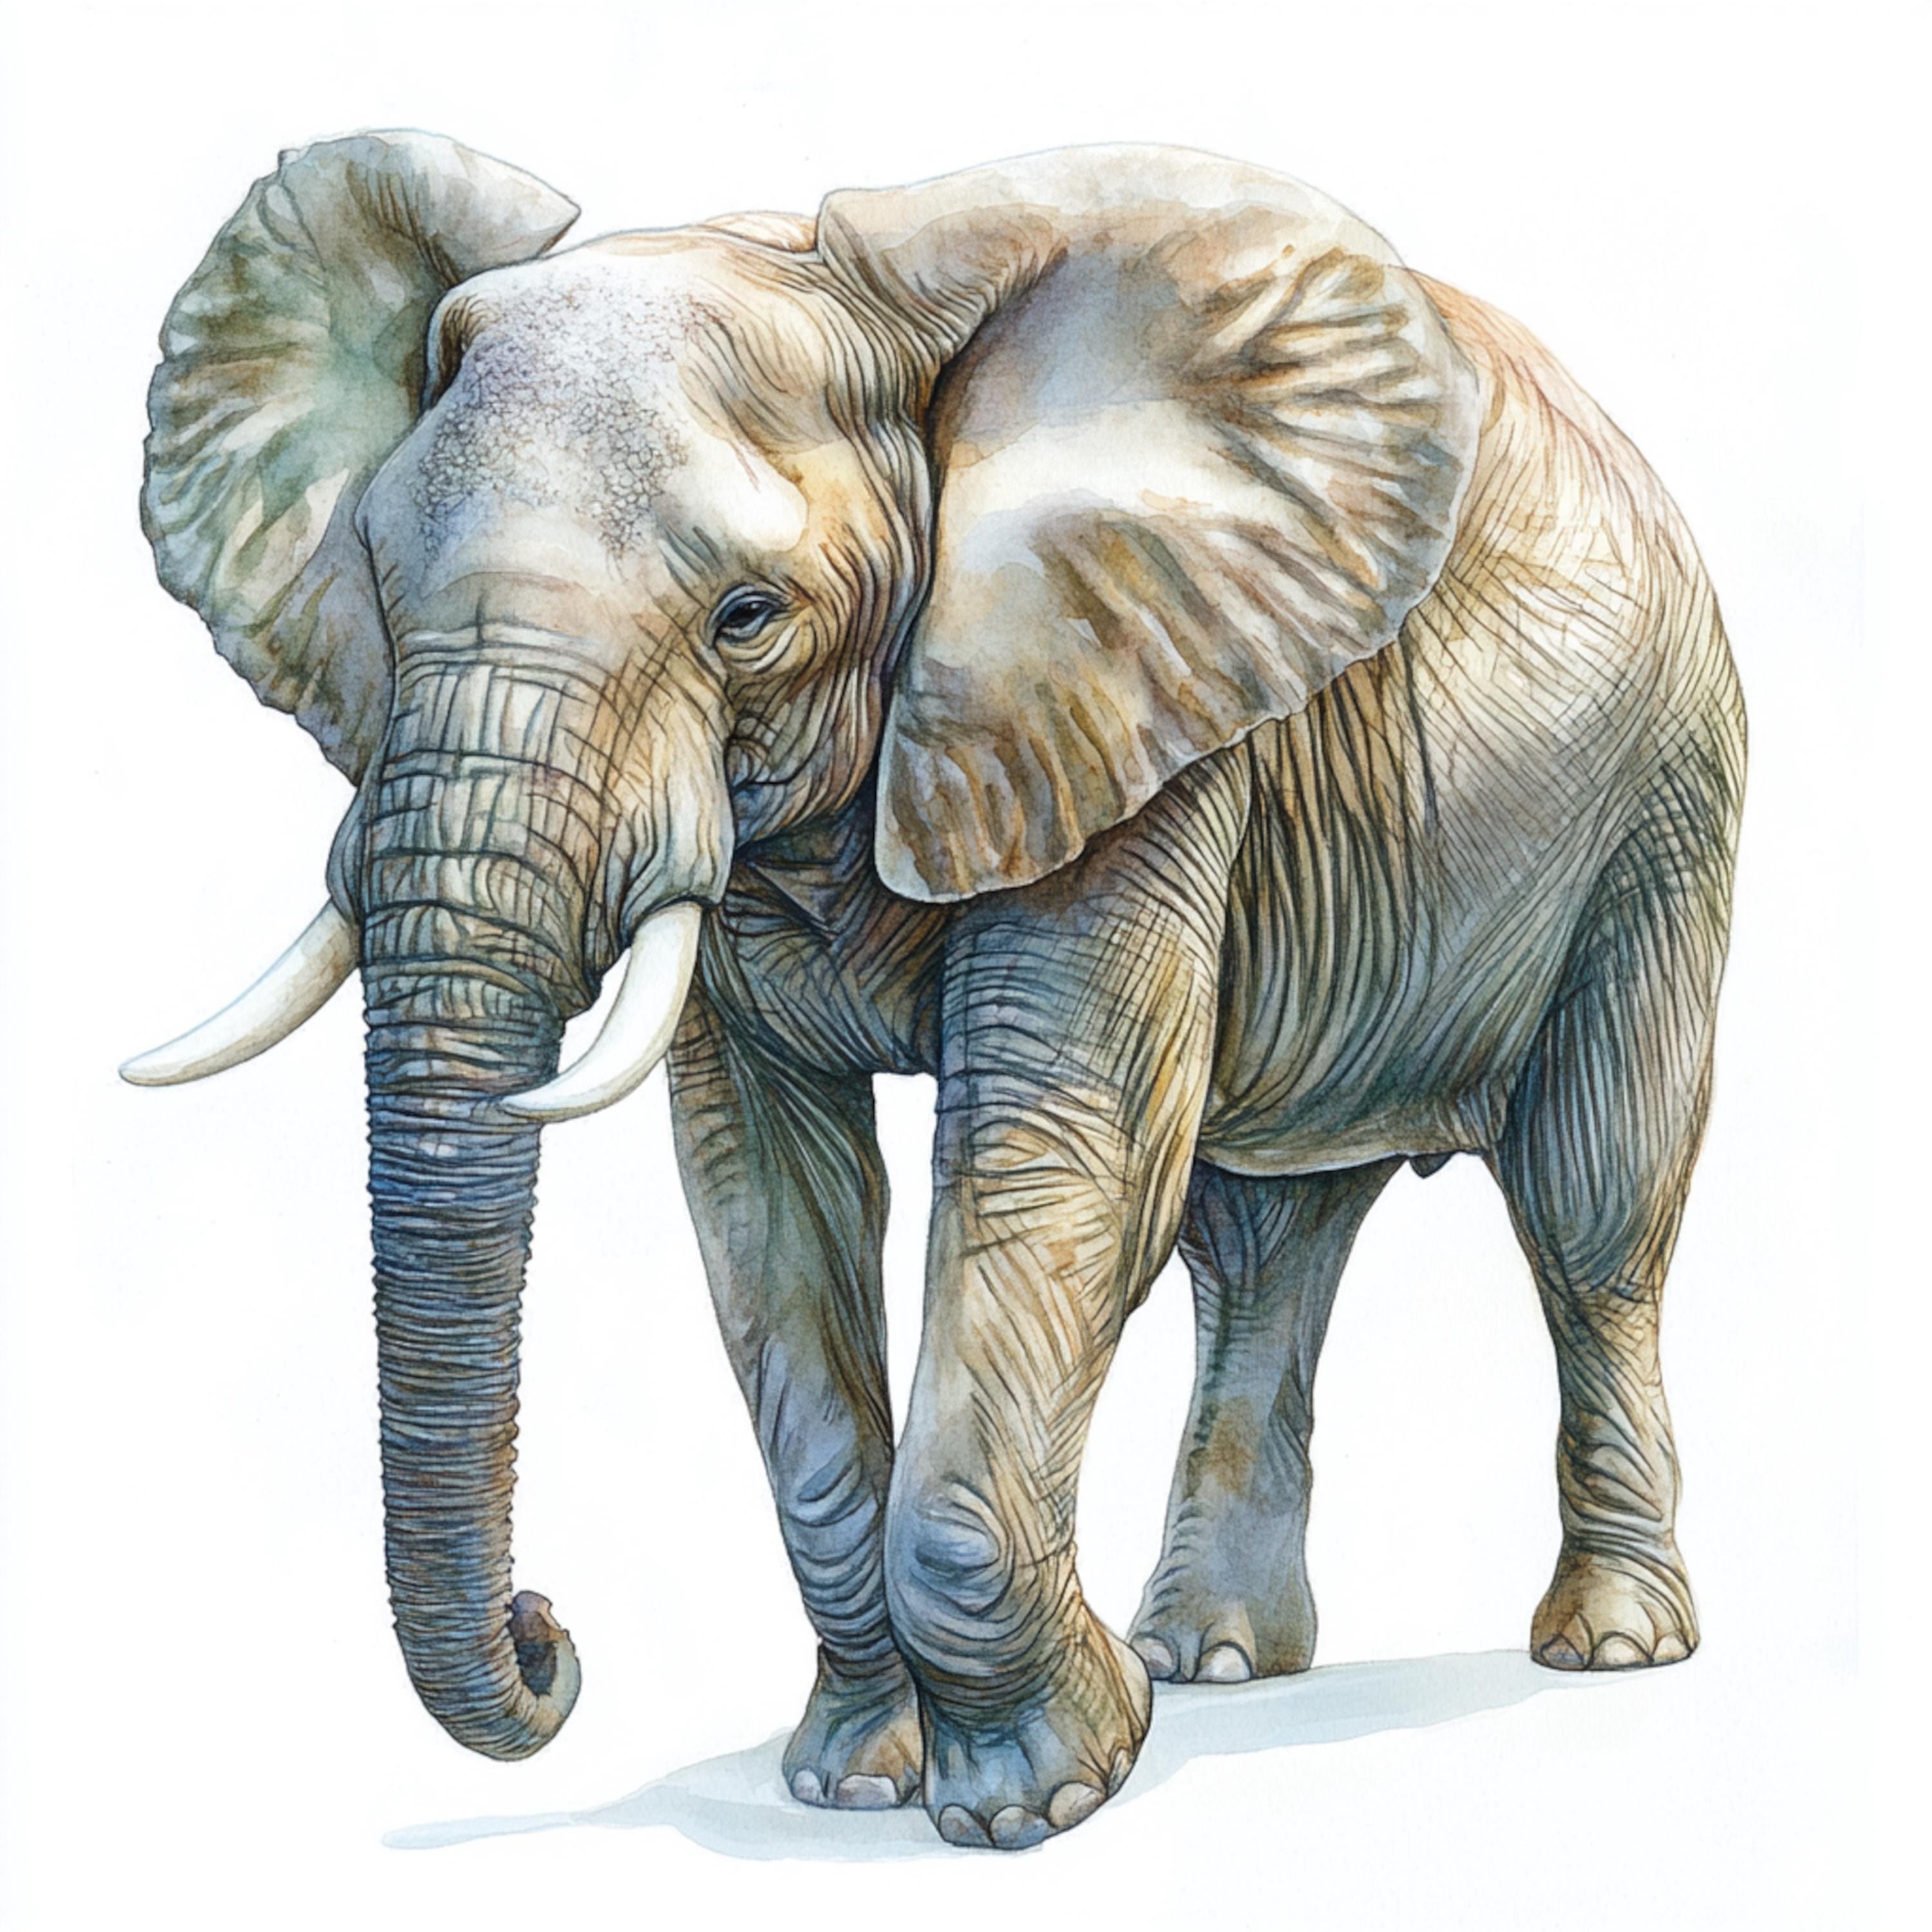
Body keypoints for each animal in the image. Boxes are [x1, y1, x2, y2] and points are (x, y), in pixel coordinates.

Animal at [124, 131, 1745, 1850]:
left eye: (746, 617)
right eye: (372, 577)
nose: (548, 1634)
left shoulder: (1122, 692)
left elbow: (1059, 1147)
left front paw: (1040, 1795)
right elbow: (768, 1201)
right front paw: (853, 1782)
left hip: (1662, 799)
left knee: (1592, 1207)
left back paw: (1608, 1645)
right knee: (1260, 1242)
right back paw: (1217, 1659)